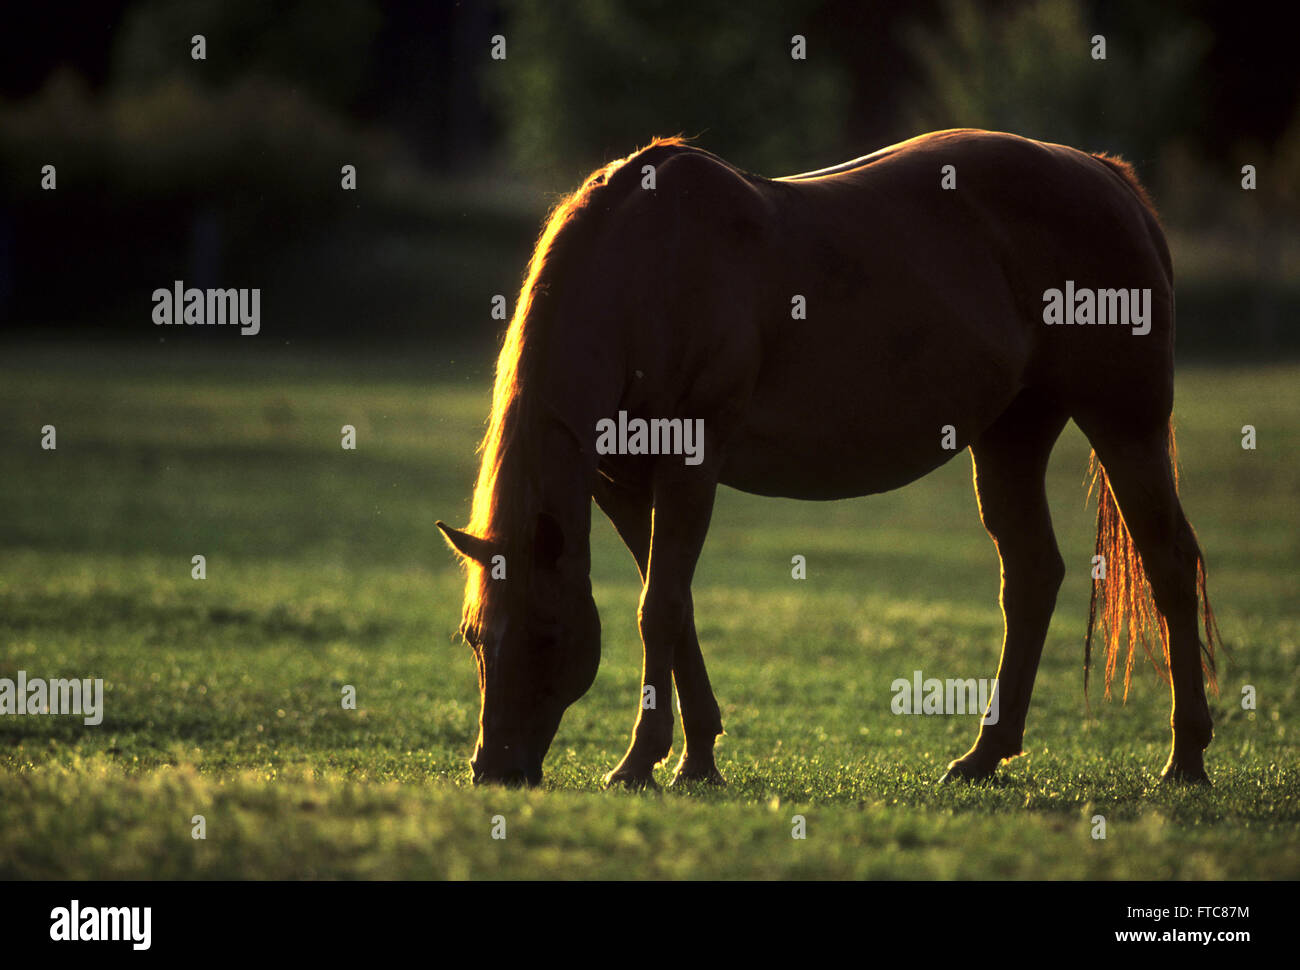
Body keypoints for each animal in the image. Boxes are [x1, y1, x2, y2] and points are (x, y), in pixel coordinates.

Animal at [437, 129, 1221, 789]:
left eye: (545, 636)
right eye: (474, 638)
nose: (494, 770)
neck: (648, 275)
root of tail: (1109, 177)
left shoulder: (690, 463)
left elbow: (658, 608)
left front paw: (639, 763)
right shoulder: (623, 484)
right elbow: (673, 606)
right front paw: (697, 759)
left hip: (1125, 425)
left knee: (1169, 562)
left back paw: (1185, 758)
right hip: (1012, 435)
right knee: (1032, 575)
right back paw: (982, 757)